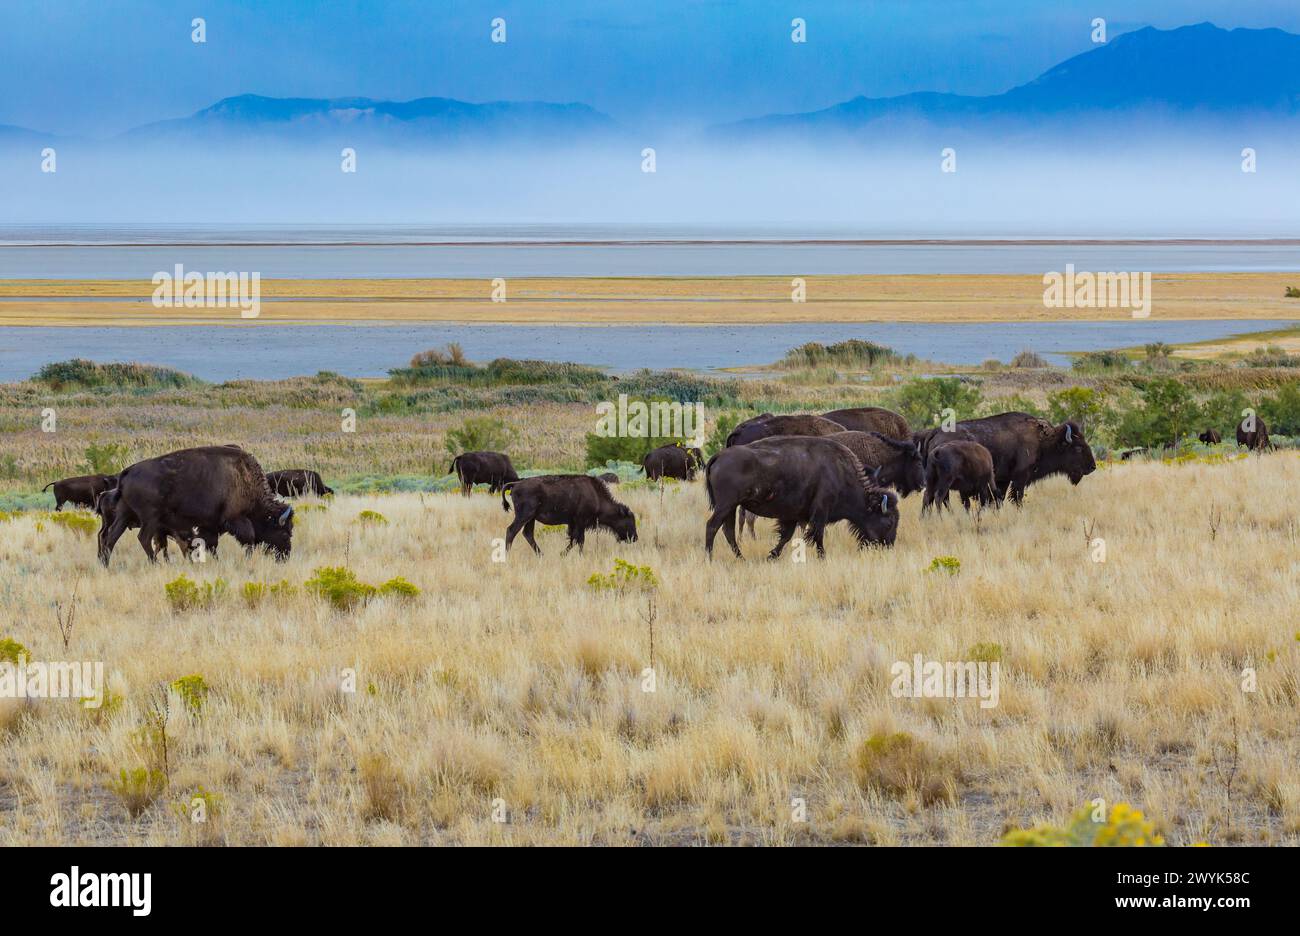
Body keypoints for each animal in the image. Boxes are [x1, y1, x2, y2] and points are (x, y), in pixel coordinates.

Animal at [99, 446, 293, 566]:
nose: (286, 555)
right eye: (284, 532)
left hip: (125, 515)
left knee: (111, 537)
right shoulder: (235, 519)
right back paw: (155, 563)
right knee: (143, 538)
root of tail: (127, 472)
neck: (244, 478)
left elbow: (211, 544)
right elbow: (249, 539)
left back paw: (106, 564)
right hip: (150, 519)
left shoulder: (210, 525)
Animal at [501, 475, 637, 554]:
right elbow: (579, 540)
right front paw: (577, 555)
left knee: (528, 534)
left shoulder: (573, 523)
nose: (635, 538)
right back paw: (508, 554)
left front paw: (562, 554)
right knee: (511, 530)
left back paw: (541, 555)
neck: (595, 495)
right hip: (524, 516)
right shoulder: (581, 522)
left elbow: (574, 540)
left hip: (531, 518)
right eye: (628, 521)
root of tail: (516, 484)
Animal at [704, 436, 898, 559]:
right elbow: (817, 535)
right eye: (889, 521)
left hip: (731, 507)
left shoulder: (793, 515)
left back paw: (741, 558)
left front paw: (772, 556)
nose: (889, 545)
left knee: (727, 530)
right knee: (712, 526)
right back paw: (709, 558)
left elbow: (786, 536)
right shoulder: (820, 511)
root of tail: (719, 455)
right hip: (725, 505)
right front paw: (823, 557)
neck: (840, 472)